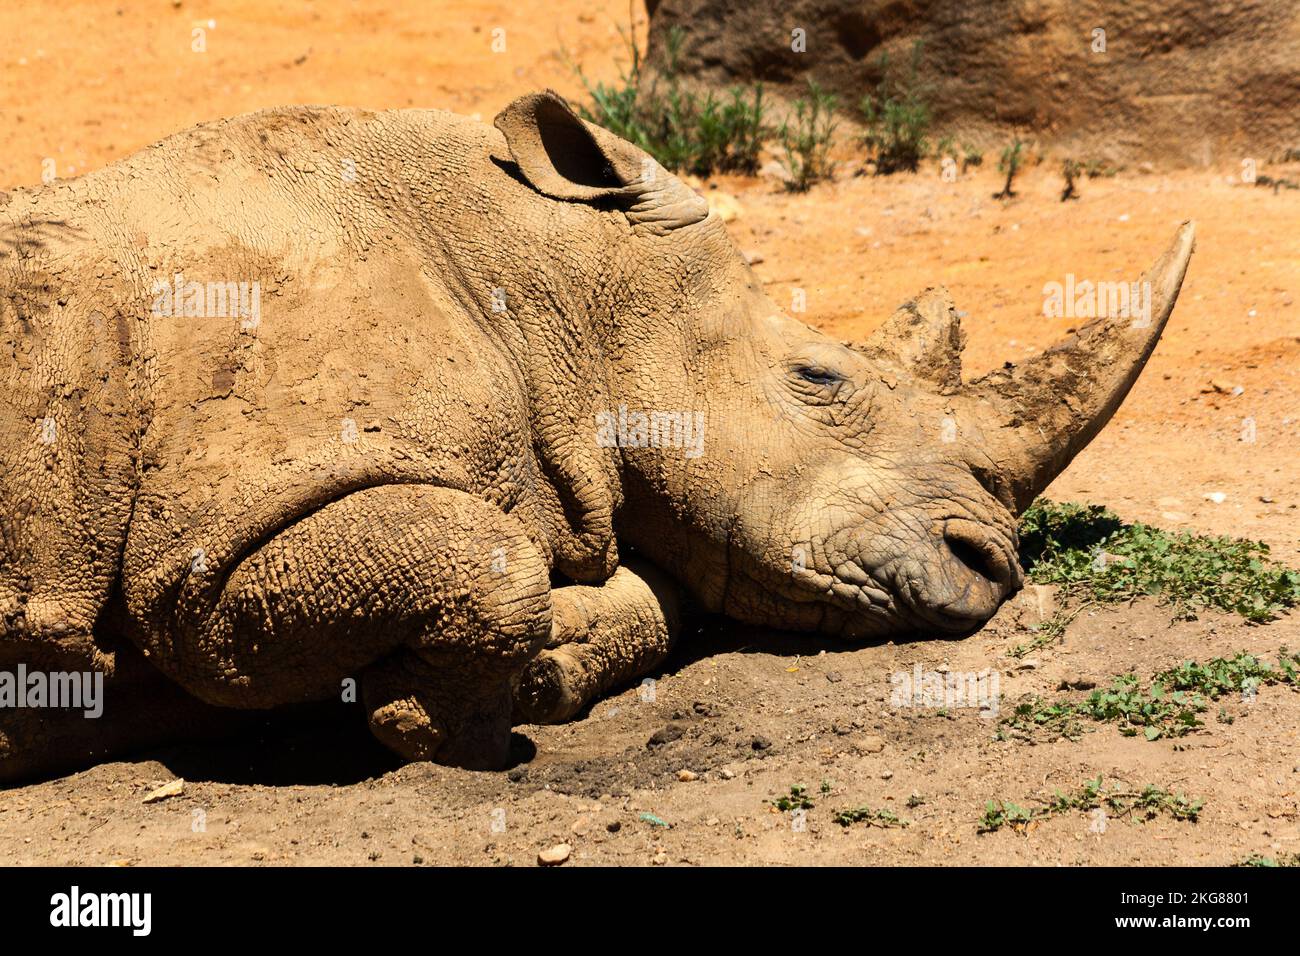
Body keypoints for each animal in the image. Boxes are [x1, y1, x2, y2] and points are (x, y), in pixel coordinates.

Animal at [0, 91, 1194, 780]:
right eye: (818, 379)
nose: (989, 567)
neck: (549, 284)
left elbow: (640, 592)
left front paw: (548, 670)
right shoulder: (222, 532)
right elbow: (487, 563)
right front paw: (438, 729)